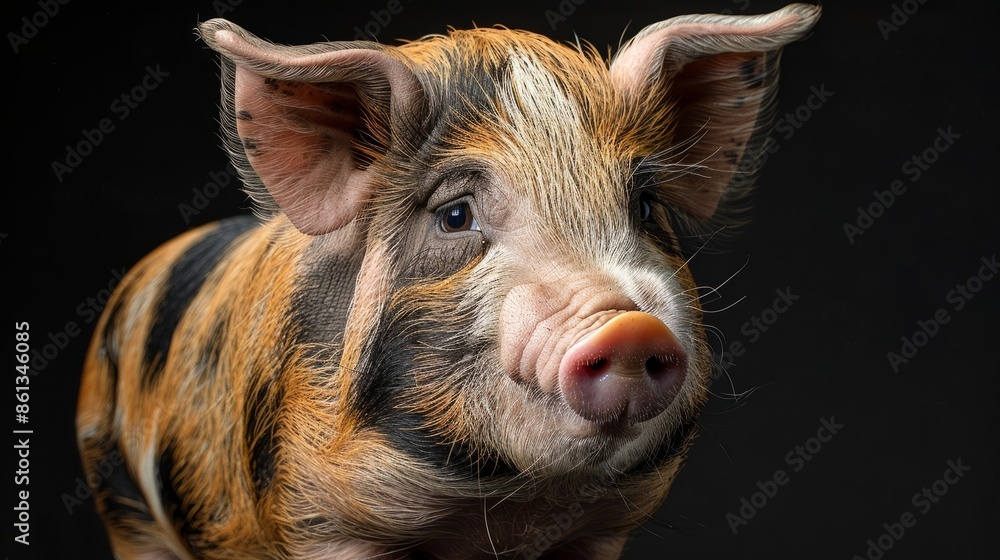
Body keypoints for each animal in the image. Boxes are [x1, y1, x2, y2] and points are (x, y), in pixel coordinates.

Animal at [77, 4, 820, 559]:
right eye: (455, 216)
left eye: (643, 206)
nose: (629, 326)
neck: (503, 507)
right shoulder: (319, 520)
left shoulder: (600, 531)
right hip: (118, 495)